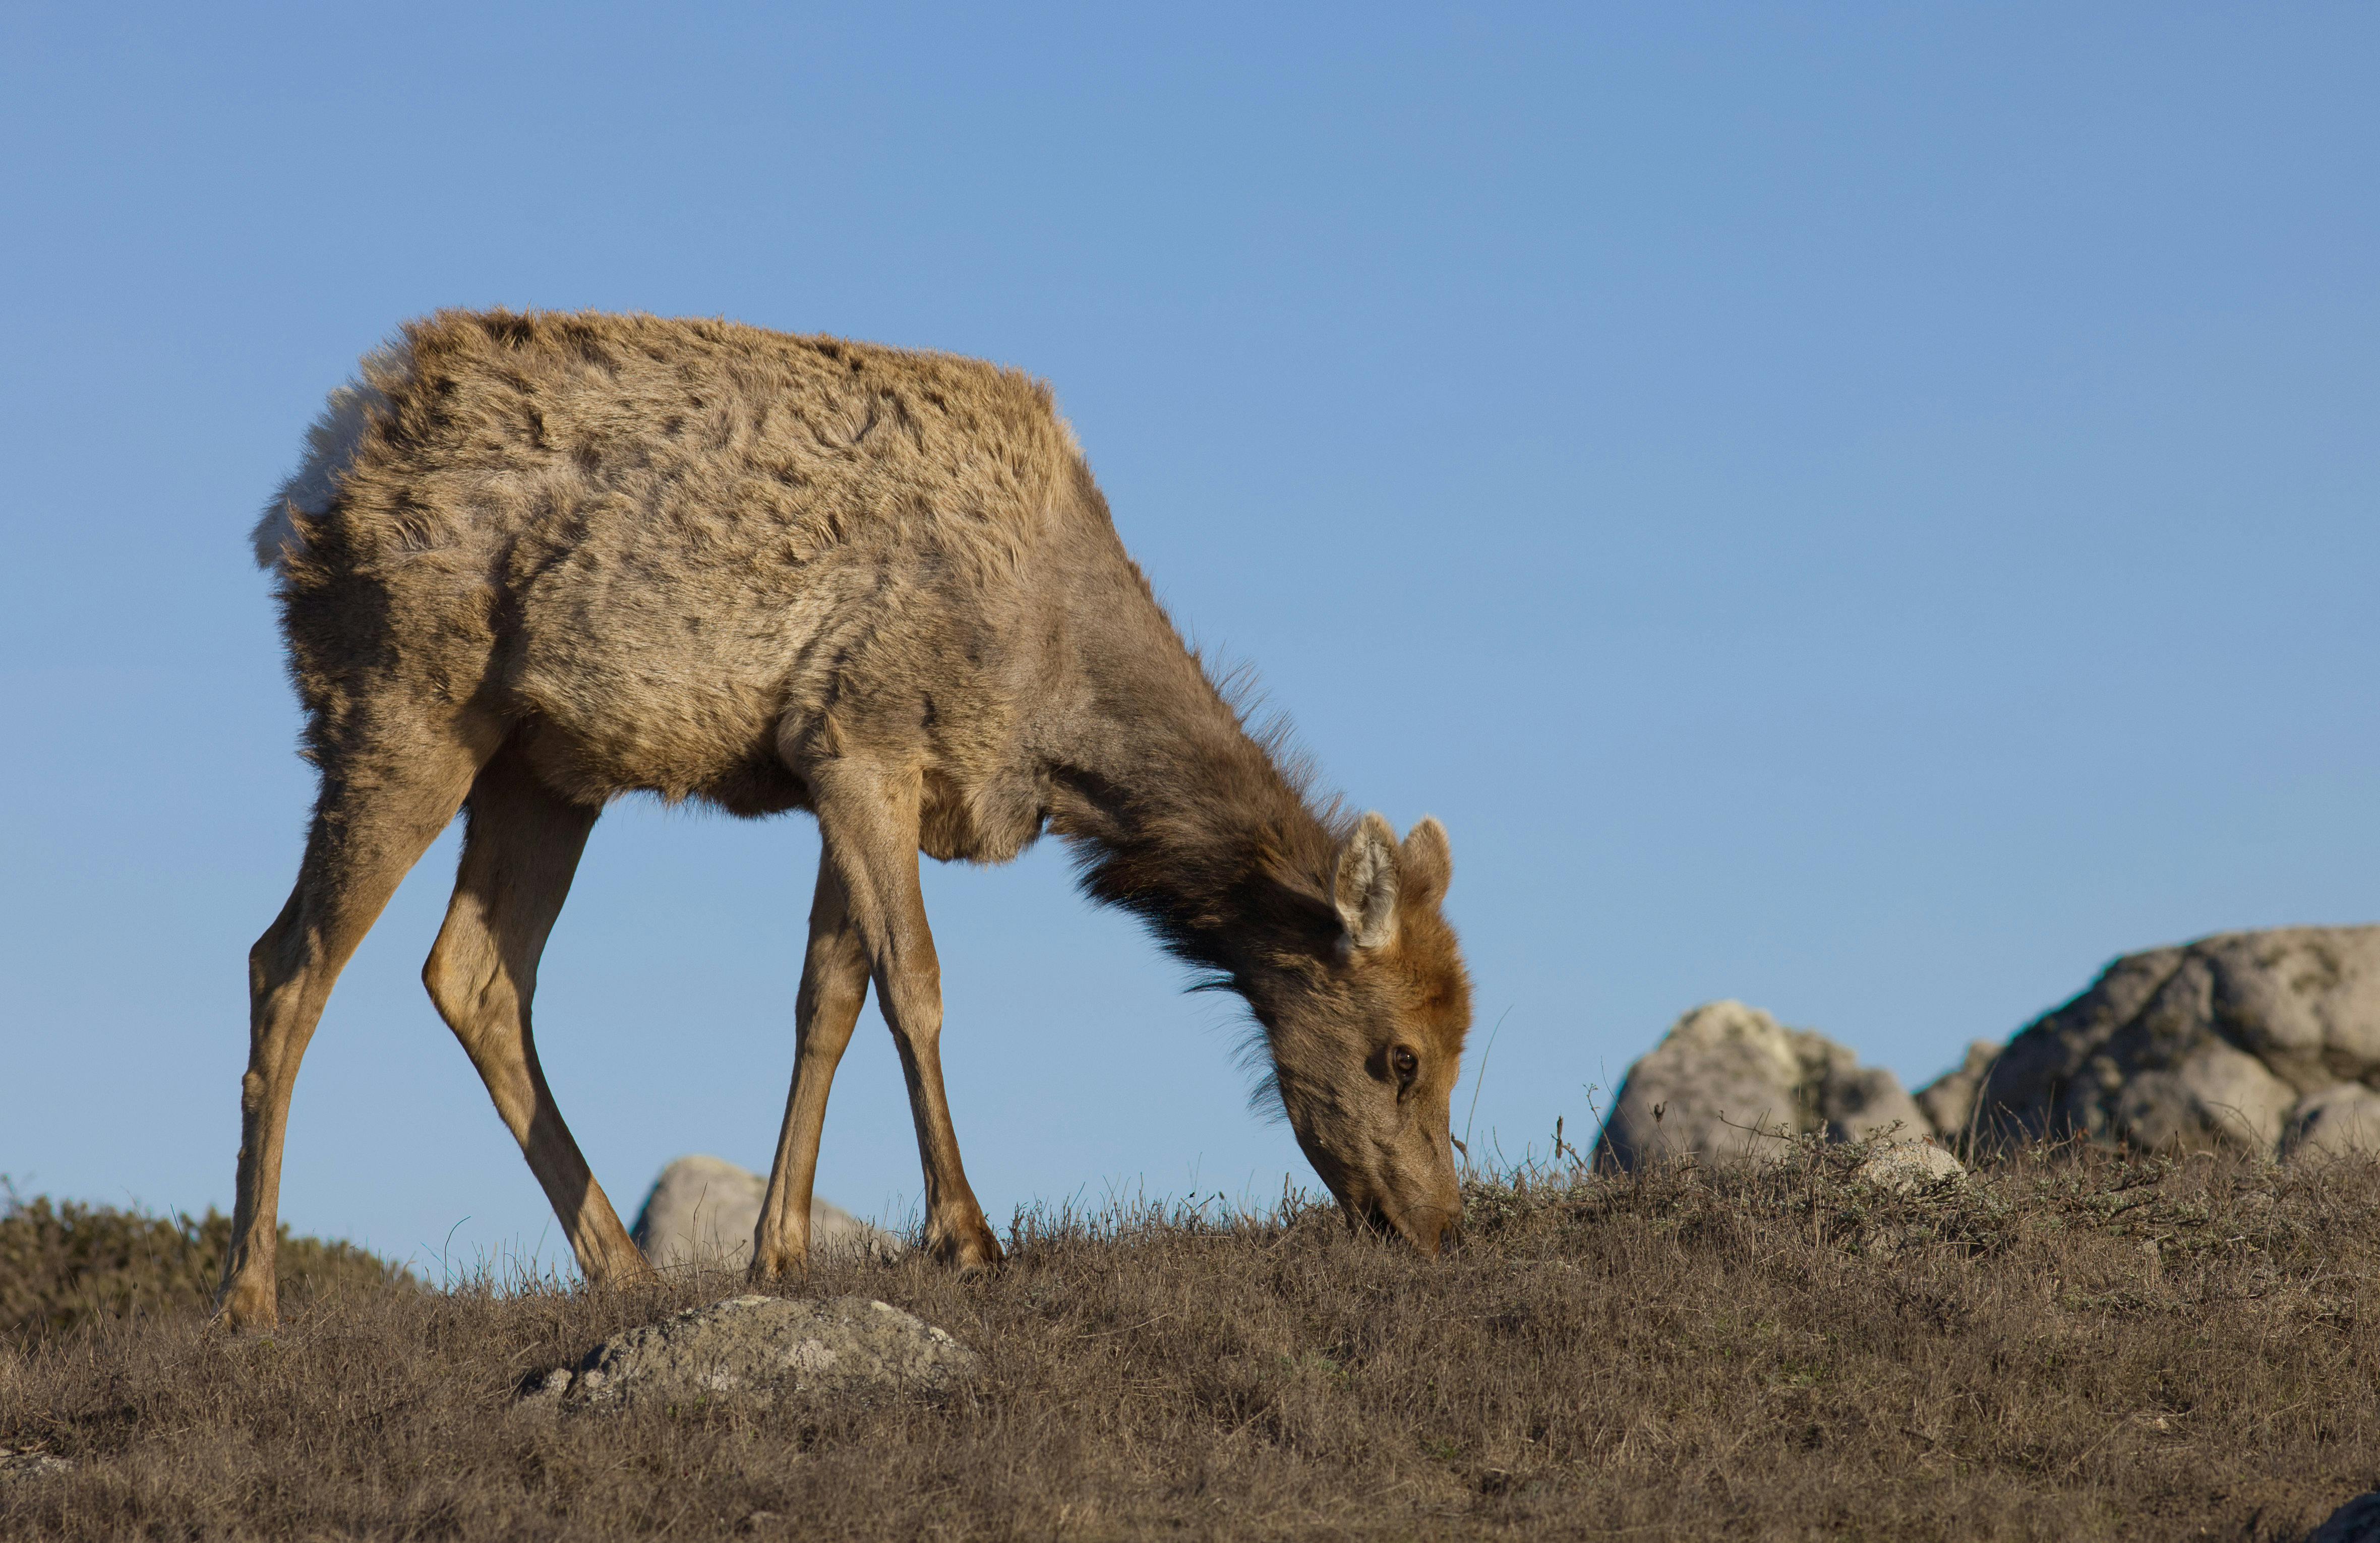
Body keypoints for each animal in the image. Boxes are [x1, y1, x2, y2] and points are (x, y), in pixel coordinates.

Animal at [218, 309, 1472, 1330]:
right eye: (1399, 1057)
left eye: (1462, 1043)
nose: (1438, 1226)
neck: (1058, 720)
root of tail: (317, 475)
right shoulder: (861, 737)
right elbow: (913, 983)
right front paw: (965, 1234)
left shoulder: (852, 769)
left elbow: (826, 996)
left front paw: (776, 1253)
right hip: (404, 707)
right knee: (288, 961)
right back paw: (251, 1294)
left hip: (542, 768)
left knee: (473, 972)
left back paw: (622, 1268)